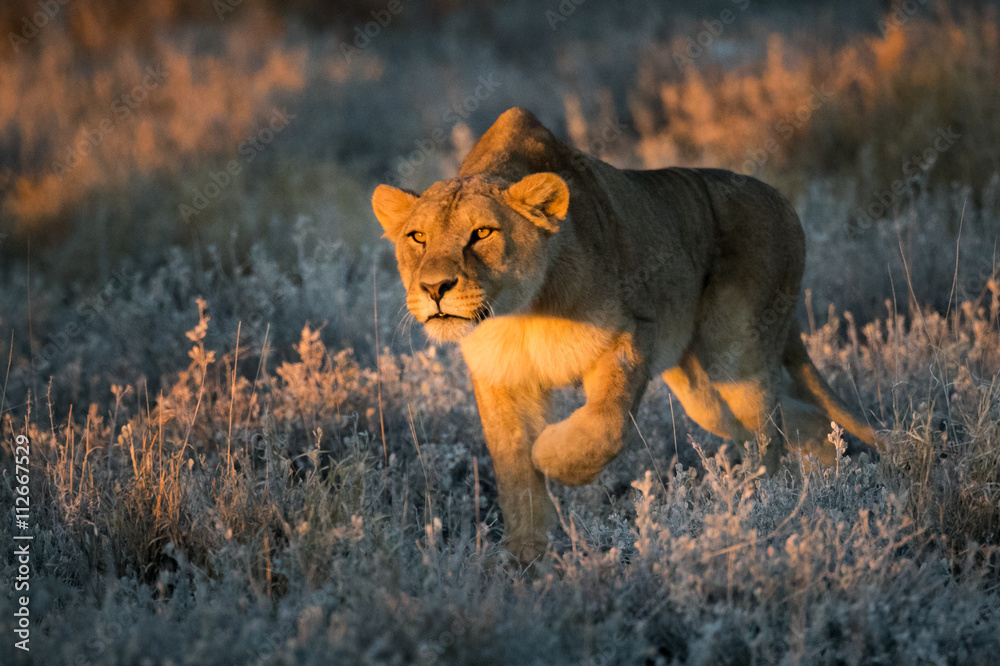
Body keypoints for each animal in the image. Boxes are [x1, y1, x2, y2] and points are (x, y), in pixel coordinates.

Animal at [372, 107, 880, 564]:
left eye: (482, 233)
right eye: (417, 237)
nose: (434, 288)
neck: (520, 312)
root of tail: (781, 198)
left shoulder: (629, 337)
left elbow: (604, 427)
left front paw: (549, 452)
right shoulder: (502, 380)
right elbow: (515, 478)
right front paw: (524, 563)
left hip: (738, 358)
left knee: (766, 439)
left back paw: (761, 510)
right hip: (706, 393)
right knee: (807, 424)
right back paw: (830, 489)